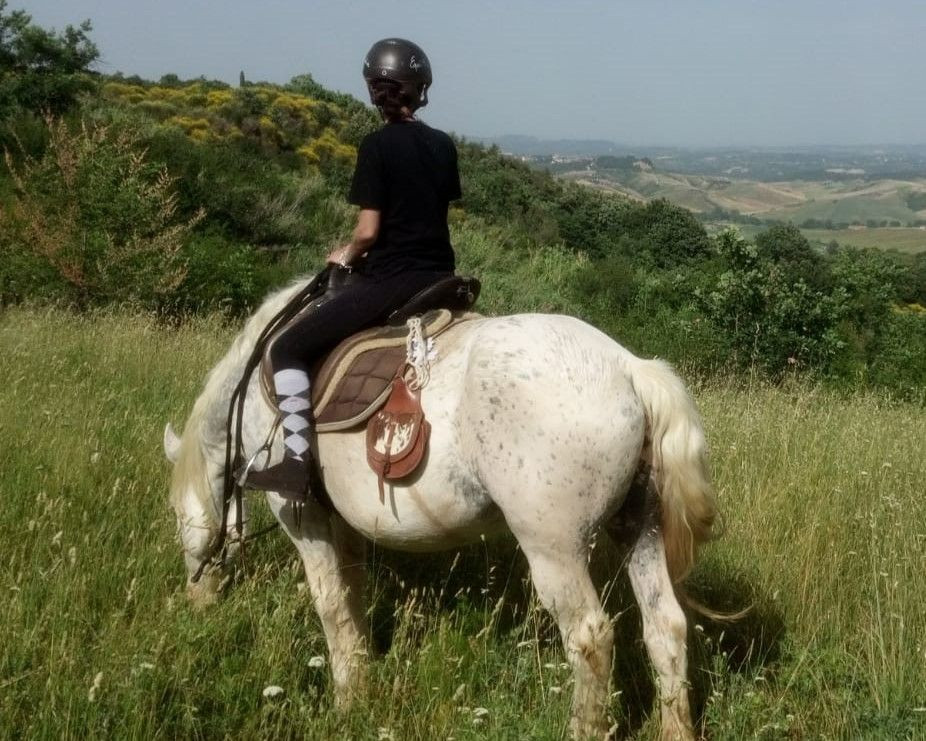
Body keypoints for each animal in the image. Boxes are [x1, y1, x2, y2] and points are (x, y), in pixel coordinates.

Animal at [163, 276, 717, 740]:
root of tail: (629, 369)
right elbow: (353, 596)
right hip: (639, 528)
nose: (196, 600)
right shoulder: (346, 525)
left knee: (590, 637)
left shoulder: (300, 514)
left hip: (554, 547)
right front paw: (362, 677)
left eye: (178, 518)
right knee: (665, 627)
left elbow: (330, 602)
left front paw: (346, 699)